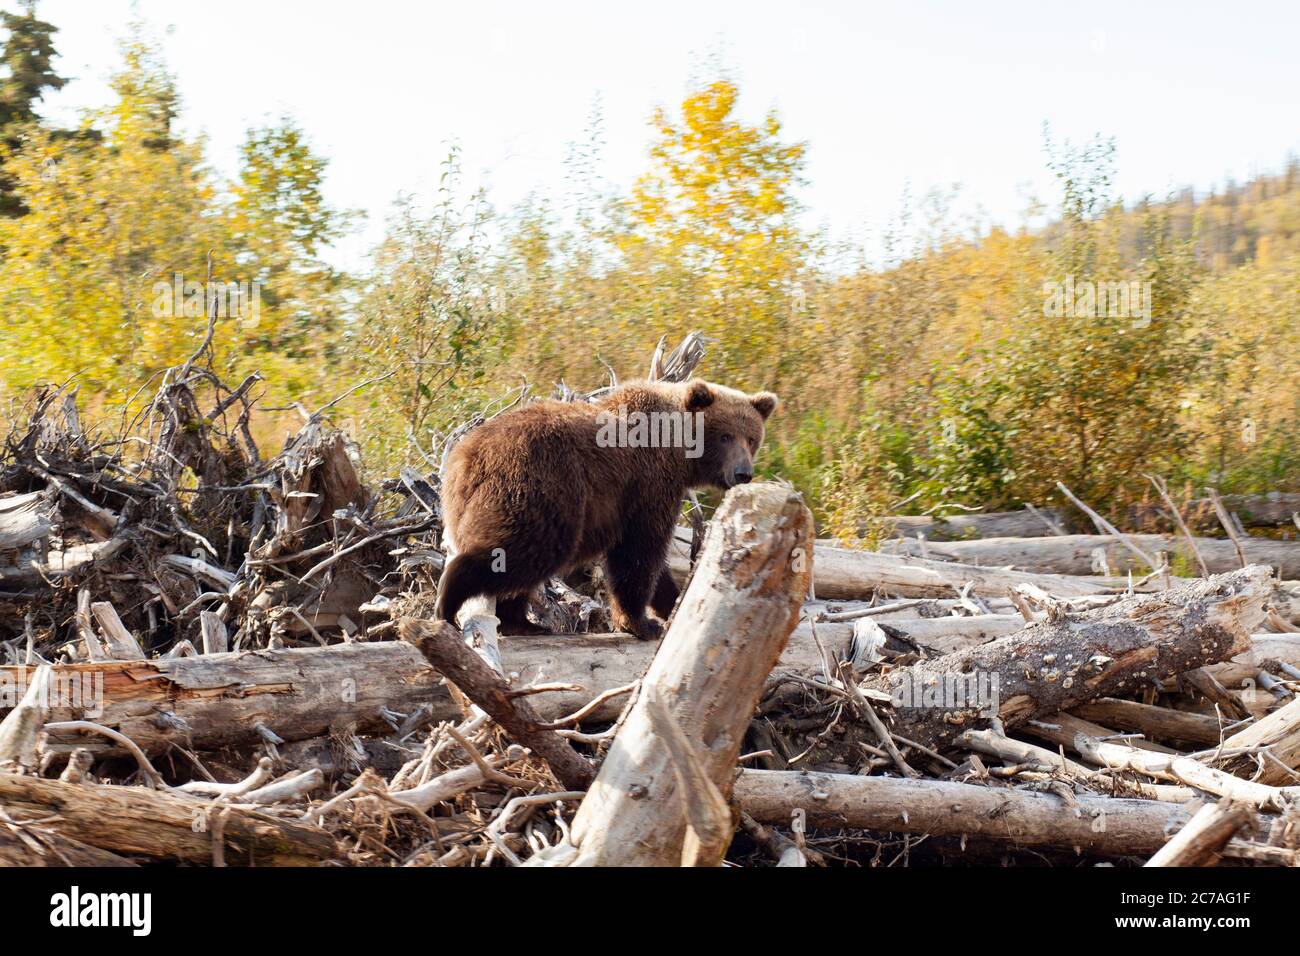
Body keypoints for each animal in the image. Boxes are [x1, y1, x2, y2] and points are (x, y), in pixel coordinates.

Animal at [434, 378, 778, 640]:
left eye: (751, 438)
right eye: (725, 436)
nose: (743, 473)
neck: (678, 452)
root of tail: (466, 458)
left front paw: (671, 605)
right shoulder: (647, 485)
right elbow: (638, 552)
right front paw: (641, 623)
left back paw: (523, 623)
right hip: (541, 488)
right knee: (523, 550)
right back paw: (450, 603)